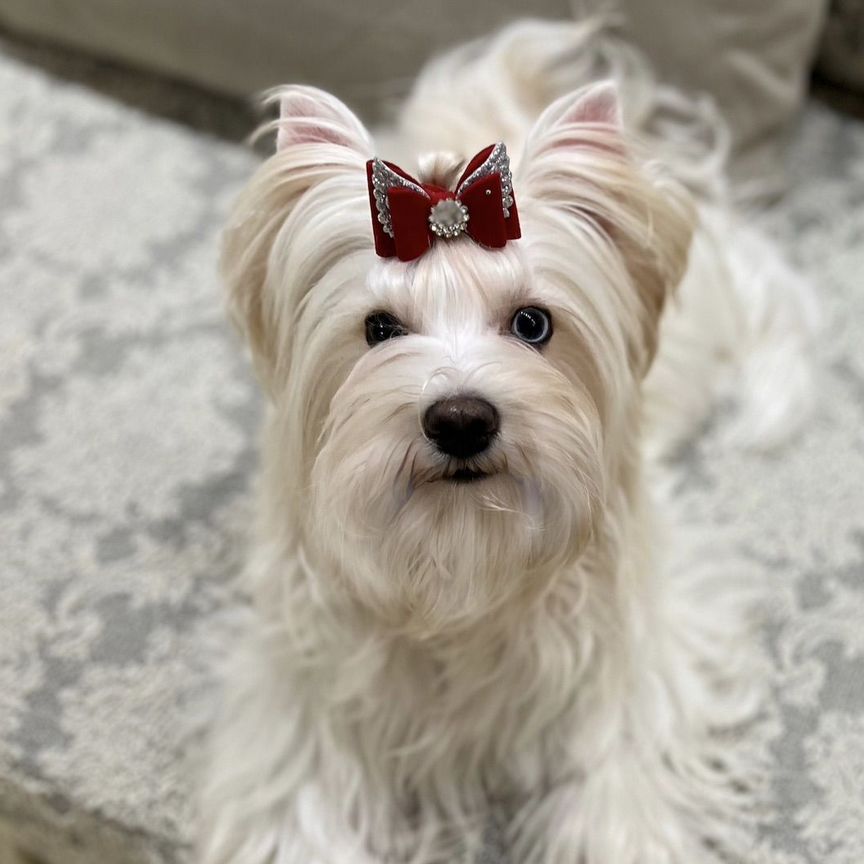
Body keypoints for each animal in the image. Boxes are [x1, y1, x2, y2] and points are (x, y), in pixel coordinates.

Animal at [198, 19, 816, 864]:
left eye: (532, 323)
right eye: (378, 329)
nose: (461, 419)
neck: (461, 547)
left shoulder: (639, 652)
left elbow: (619, 768)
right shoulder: (305, 685)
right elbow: (301, 801)